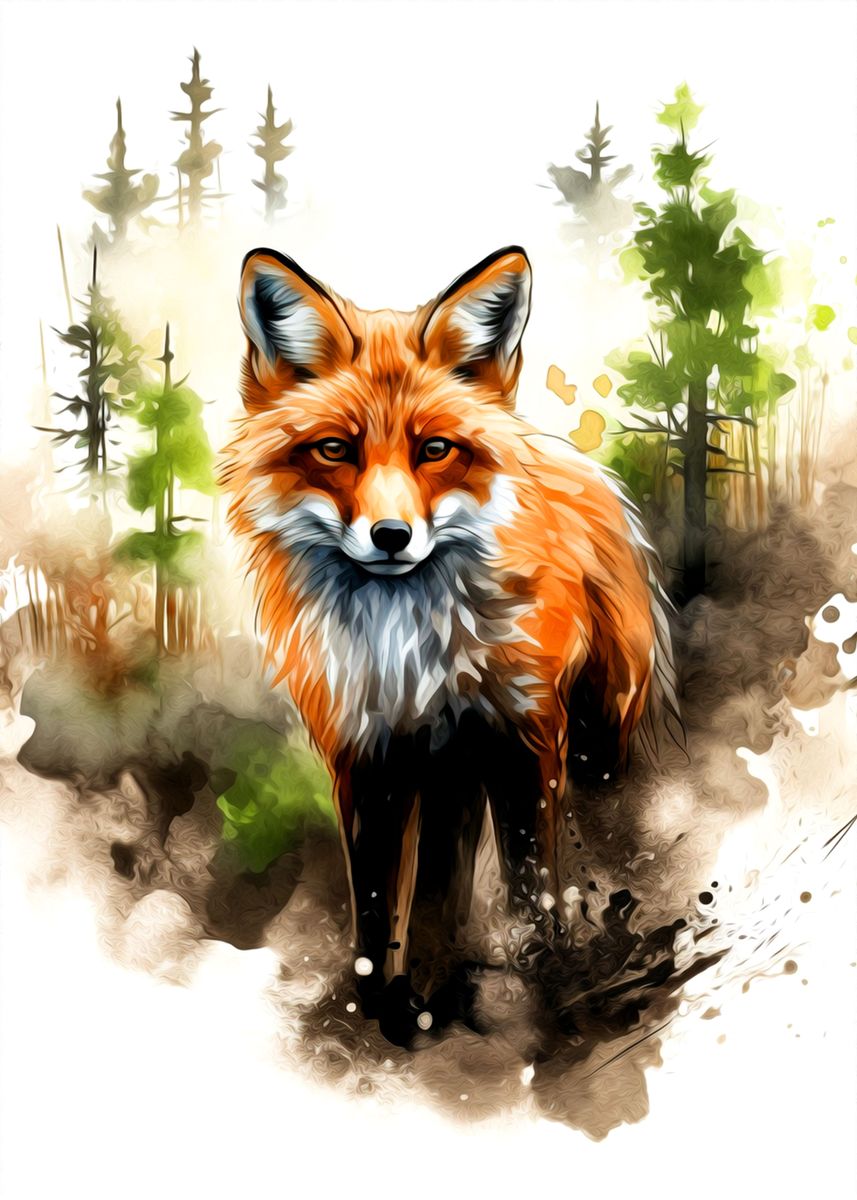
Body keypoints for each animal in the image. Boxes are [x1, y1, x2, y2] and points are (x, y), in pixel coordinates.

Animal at [221, 245, 679, 1045]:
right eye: (335, 450)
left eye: (435, 449)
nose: (391, 536)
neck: (408, 646)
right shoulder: (367, 755)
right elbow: (377, 906)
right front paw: (381, 1008)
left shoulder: (526, 734)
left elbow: (531, 883)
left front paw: (546, 981)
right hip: (447, 775)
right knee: (444, 877)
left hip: (594, 740)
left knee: (604, 816)